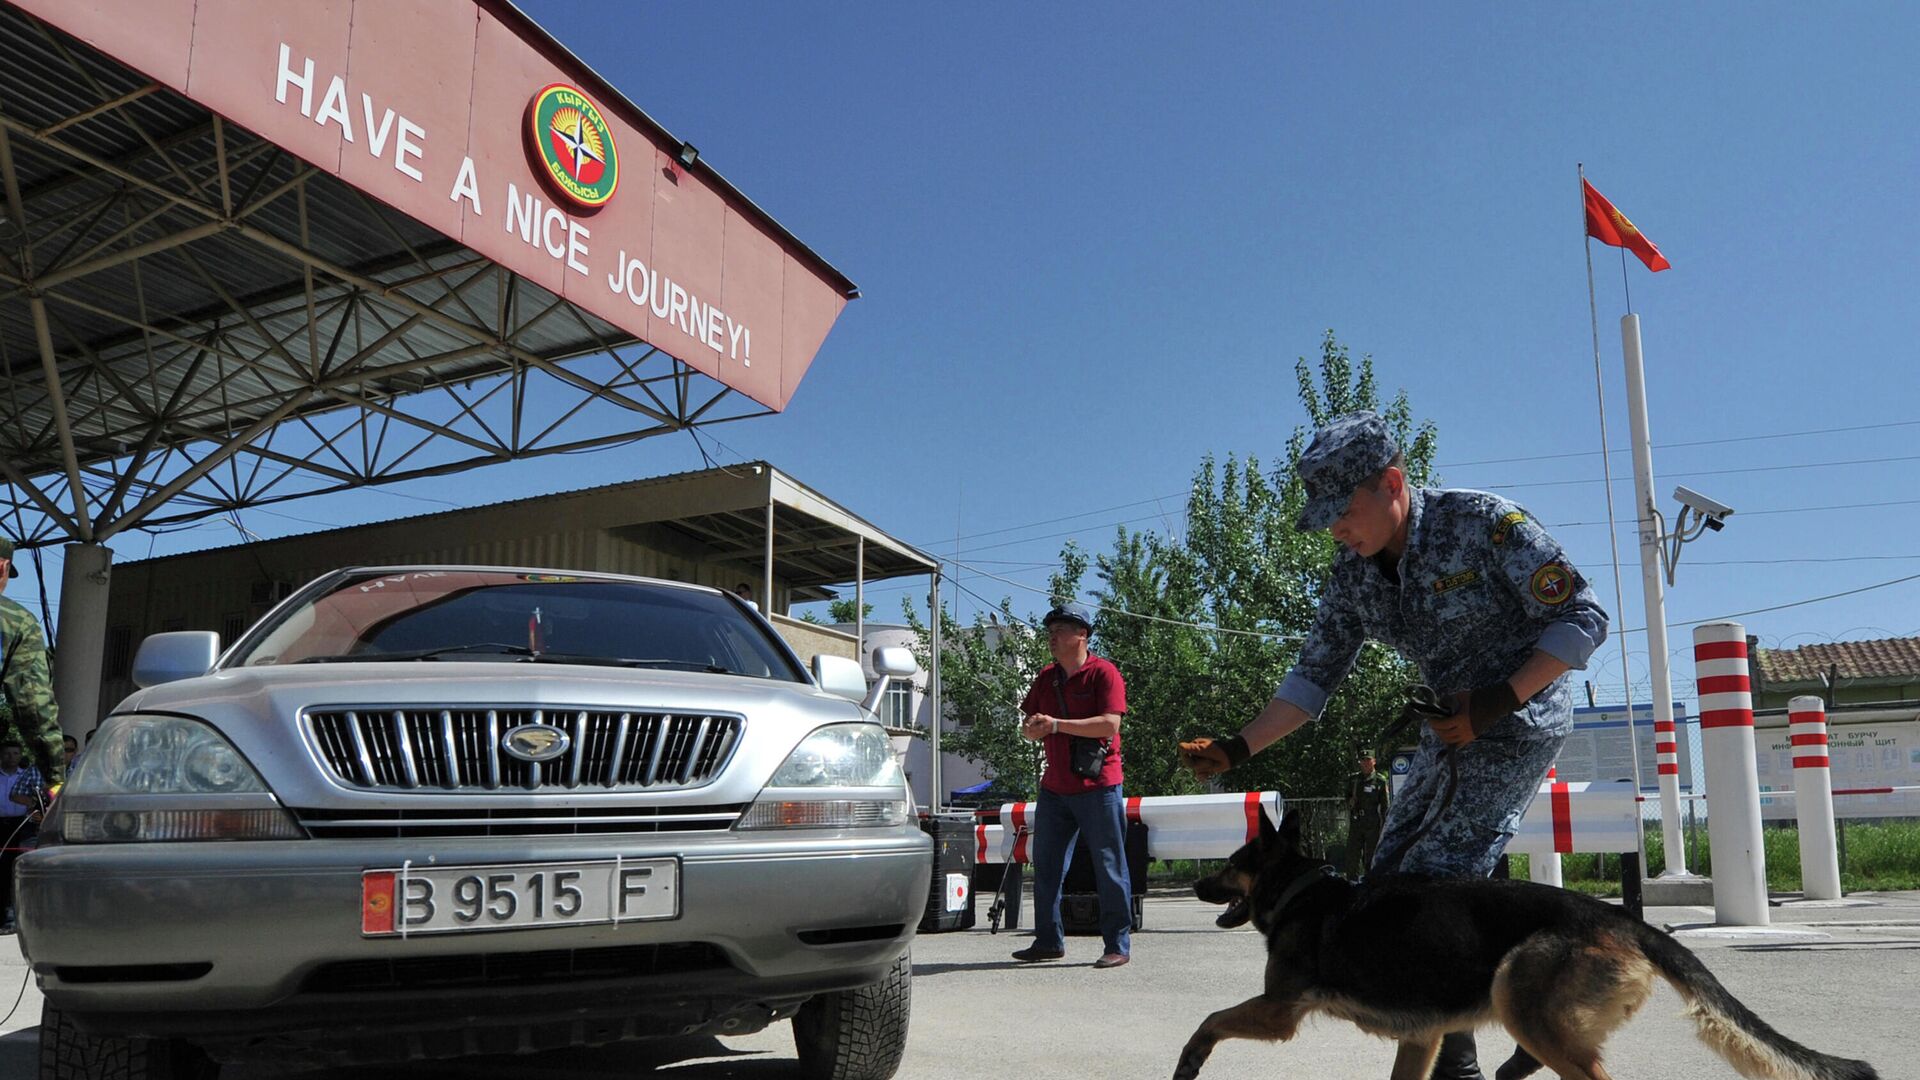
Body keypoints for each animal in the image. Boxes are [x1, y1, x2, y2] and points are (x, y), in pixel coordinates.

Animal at [1175, 807, 1881, 1076]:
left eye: (1231, 863)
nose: (1197, 881)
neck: (1301, 890)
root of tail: (1627, 922)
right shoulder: (1422, 1036)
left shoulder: (1279, 1013)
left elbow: (1208, 1019)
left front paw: (1190, 1060)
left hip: (1519, 993)